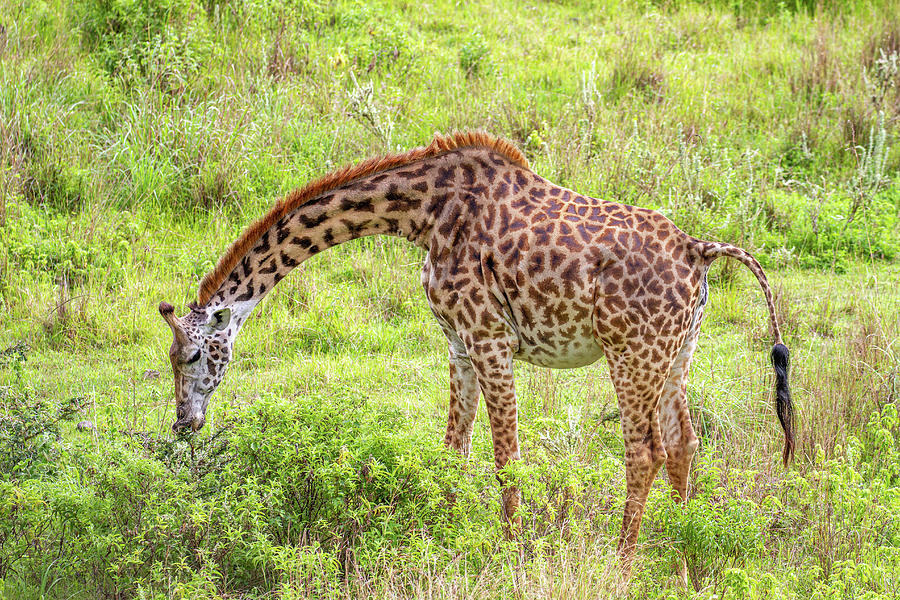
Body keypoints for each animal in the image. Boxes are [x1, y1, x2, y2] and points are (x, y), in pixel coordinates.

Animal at [159, 131, 794, 575]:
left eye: (190, 358)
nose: (184, 423)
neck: (421, 214)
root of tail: (699, 251)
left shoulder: (490, 338)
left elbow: (505, 456)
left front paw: (512, 554)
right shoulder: (458, 343)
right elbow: (454, 451)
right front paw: (443, 535)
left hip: (630, 353)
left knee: (646, 452)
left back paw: (622, 564)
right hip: (677, 352)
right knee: (685, 442)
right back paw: (686, 549)